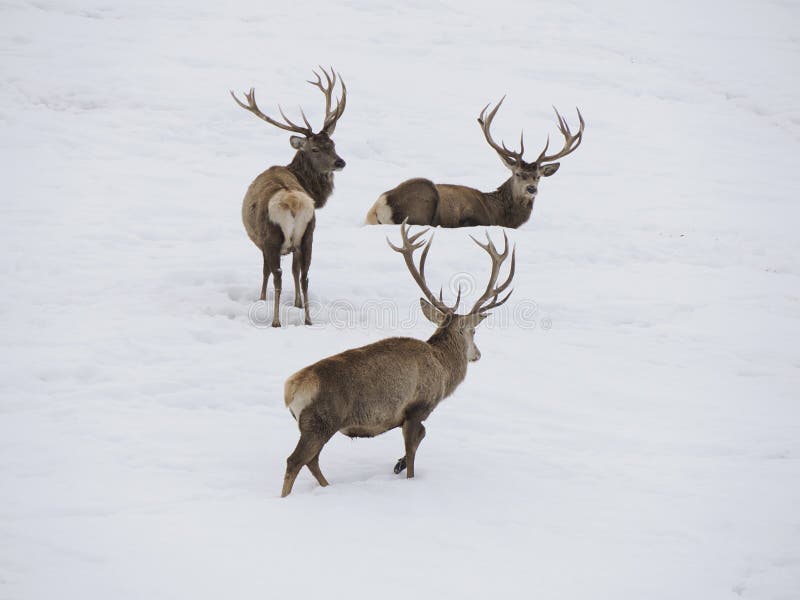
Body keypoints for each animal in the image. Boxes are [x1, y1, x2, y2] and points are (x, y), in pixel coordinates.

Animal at [231, 67, 346, 327]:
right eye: (316, 148)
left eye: (332, 143)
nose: (340, 162)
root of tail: (293, 202)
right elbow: (296, 272)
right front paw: (298, 305)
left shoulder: (263, 242)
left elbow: (266, 272)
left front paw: (261, 299)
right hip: (308, 234)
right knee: (304, 275)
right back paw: (308, 320)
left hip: (272, 235)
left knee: (277, 276)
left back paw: (275, 321)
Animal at [279, 220, 515, 497]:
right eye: (473, 331)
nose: (477, 354)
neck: (443, 369)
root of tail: (291, 390)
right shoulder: (417, 408)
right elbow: (414, 449)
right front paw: (405, 471)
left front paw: (397, 464)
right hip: (320, 421)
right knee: (295, 460)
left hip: (314, 425)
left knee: (312, 461)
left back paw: (327, 486)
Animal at [366, 97, 584, 229]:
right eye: (517, 173)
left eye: (538, 177)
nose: (531, 189)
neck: (500, 214)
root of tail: (380, 206)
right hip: (423, 197)